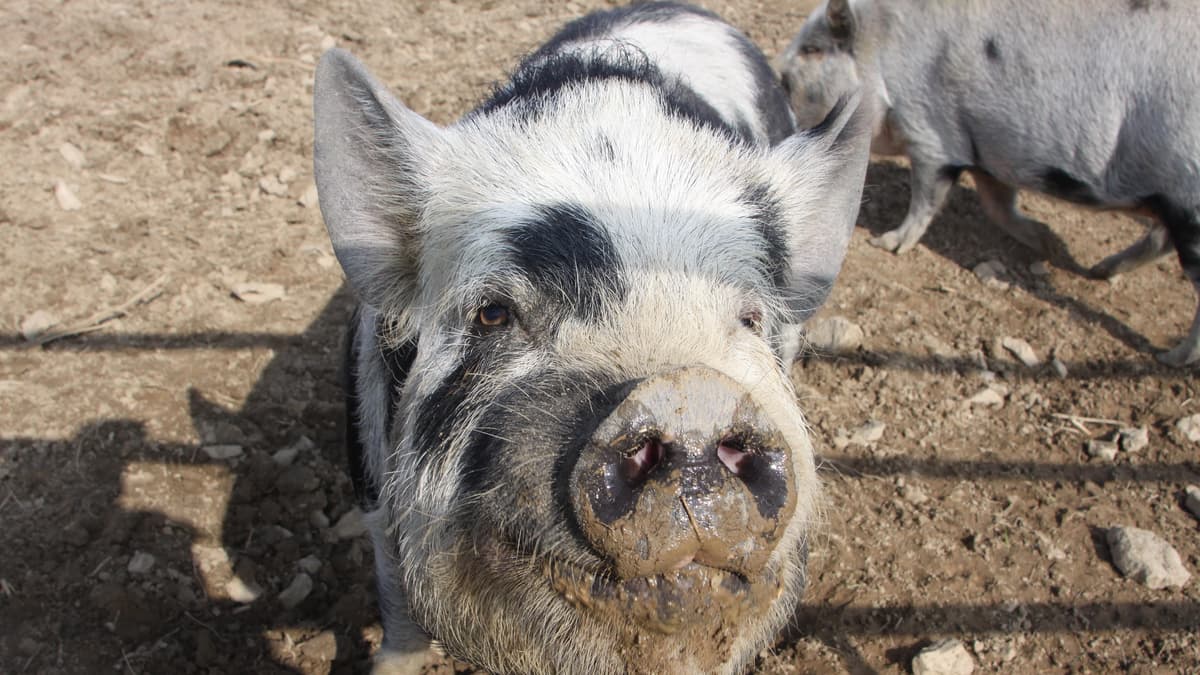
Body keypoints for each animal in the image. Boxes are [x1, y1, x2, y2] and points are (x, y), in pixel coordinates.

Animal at [777, 0, 1200, 366]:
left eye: (814, 49)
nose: (779, 75)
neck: (879, 48)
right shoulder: (988, 158)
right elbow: (1000, 208)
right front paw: (1045, 241)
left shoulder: (931, 132)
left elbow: (927, 197)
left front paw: (887, 244)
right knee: (1158, 240)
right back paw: (1100, 271)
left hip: (1188, 201)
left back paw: (1170, 359)